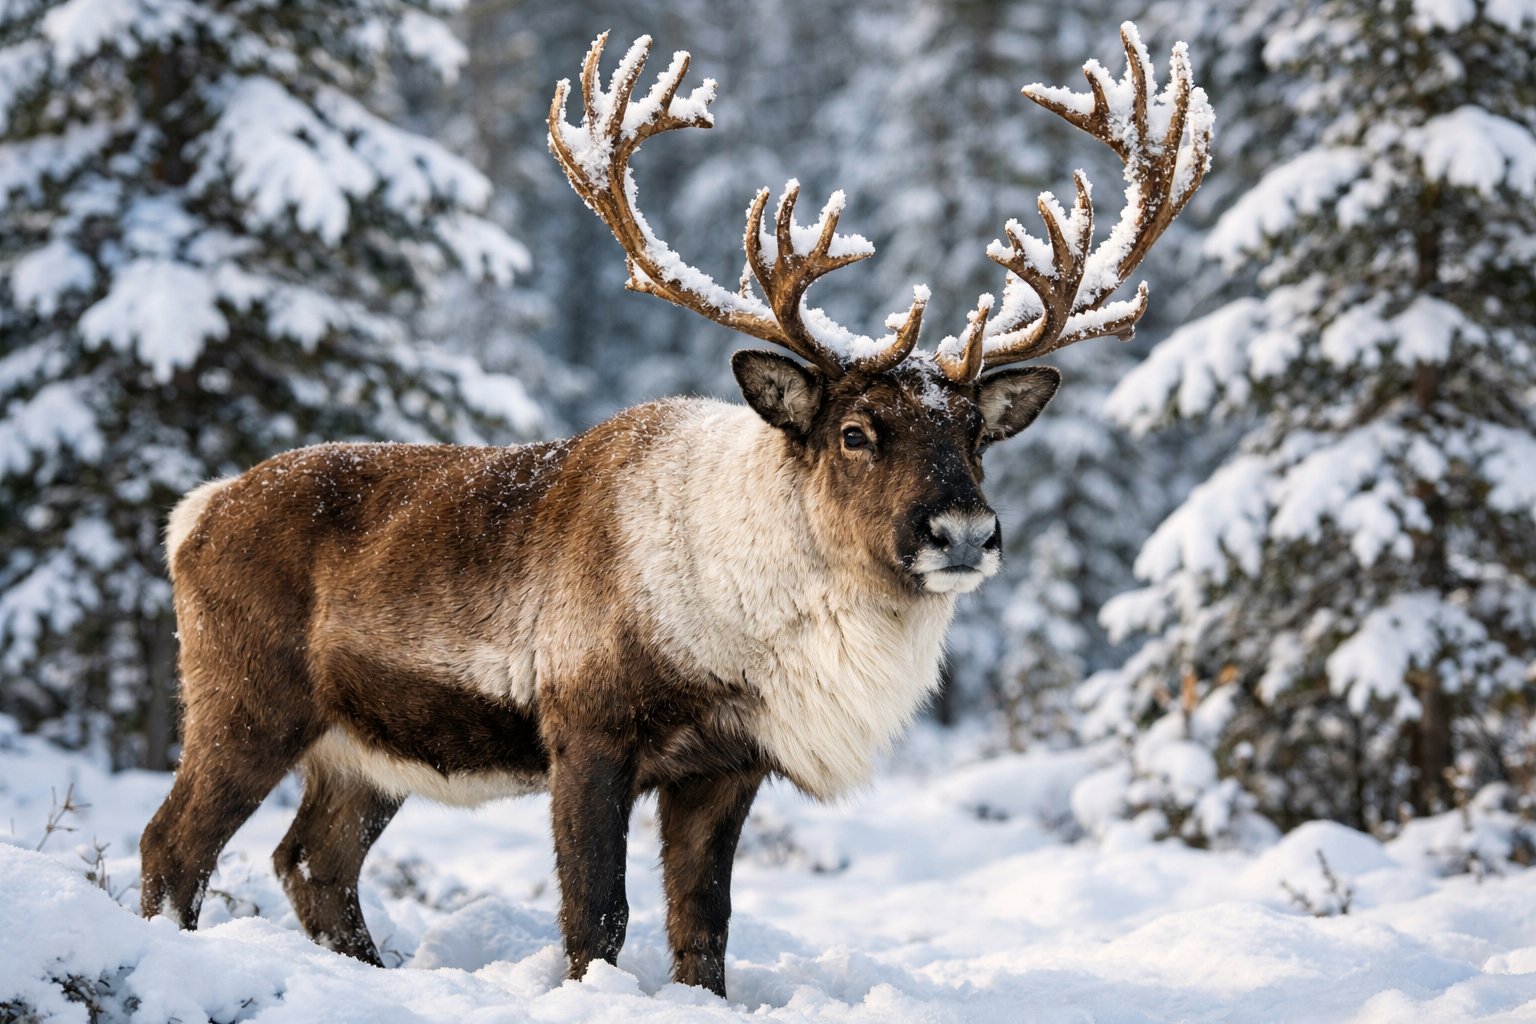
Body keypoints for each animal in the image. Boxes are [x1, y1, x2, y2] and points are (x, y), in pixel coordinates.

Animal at [139, 24, 1211, 999]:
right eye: (855, 432)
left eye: (979, 434)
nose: (962, 532)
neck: (746, 623)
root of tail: (191, 513)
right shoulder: (587, 731)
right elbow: (598, 916)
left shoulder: (724, 766)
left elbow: (703, 927)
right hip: (246, 698)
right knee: (173, 843)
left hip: (361, 754)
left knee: (313, 864)